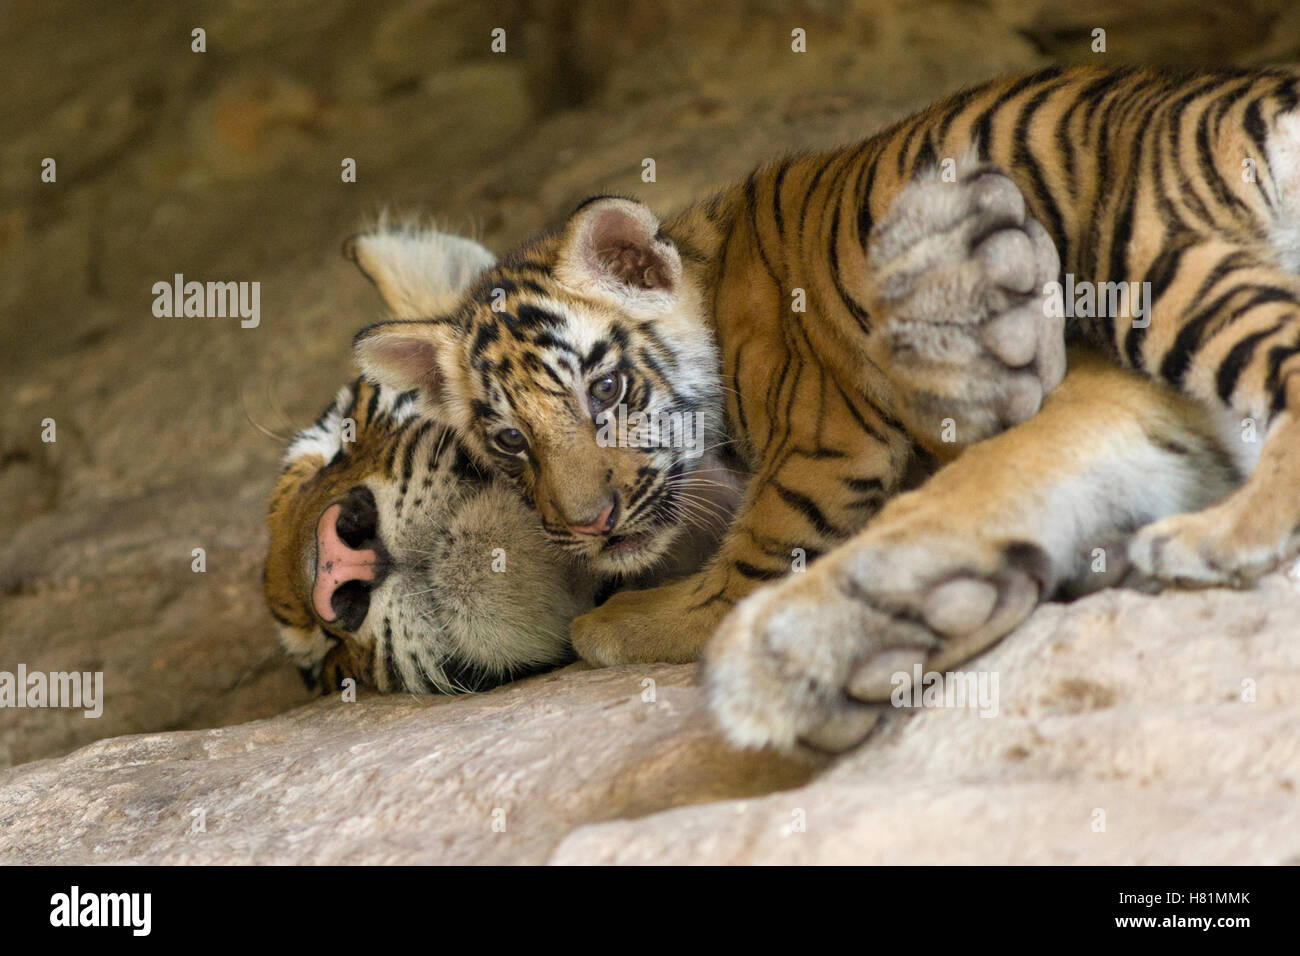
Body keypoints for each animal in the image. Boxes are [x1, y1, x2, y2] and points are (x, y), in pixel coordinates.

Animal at [352, 66, 1300, 751]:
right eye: (509, 441)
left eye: (607, 390)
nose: (587, 526)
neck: (711, 281)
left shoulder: (818, 461)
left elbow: (732, 581)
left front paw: (618, 621)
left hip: (1159, 266)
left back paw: (1218, 539)